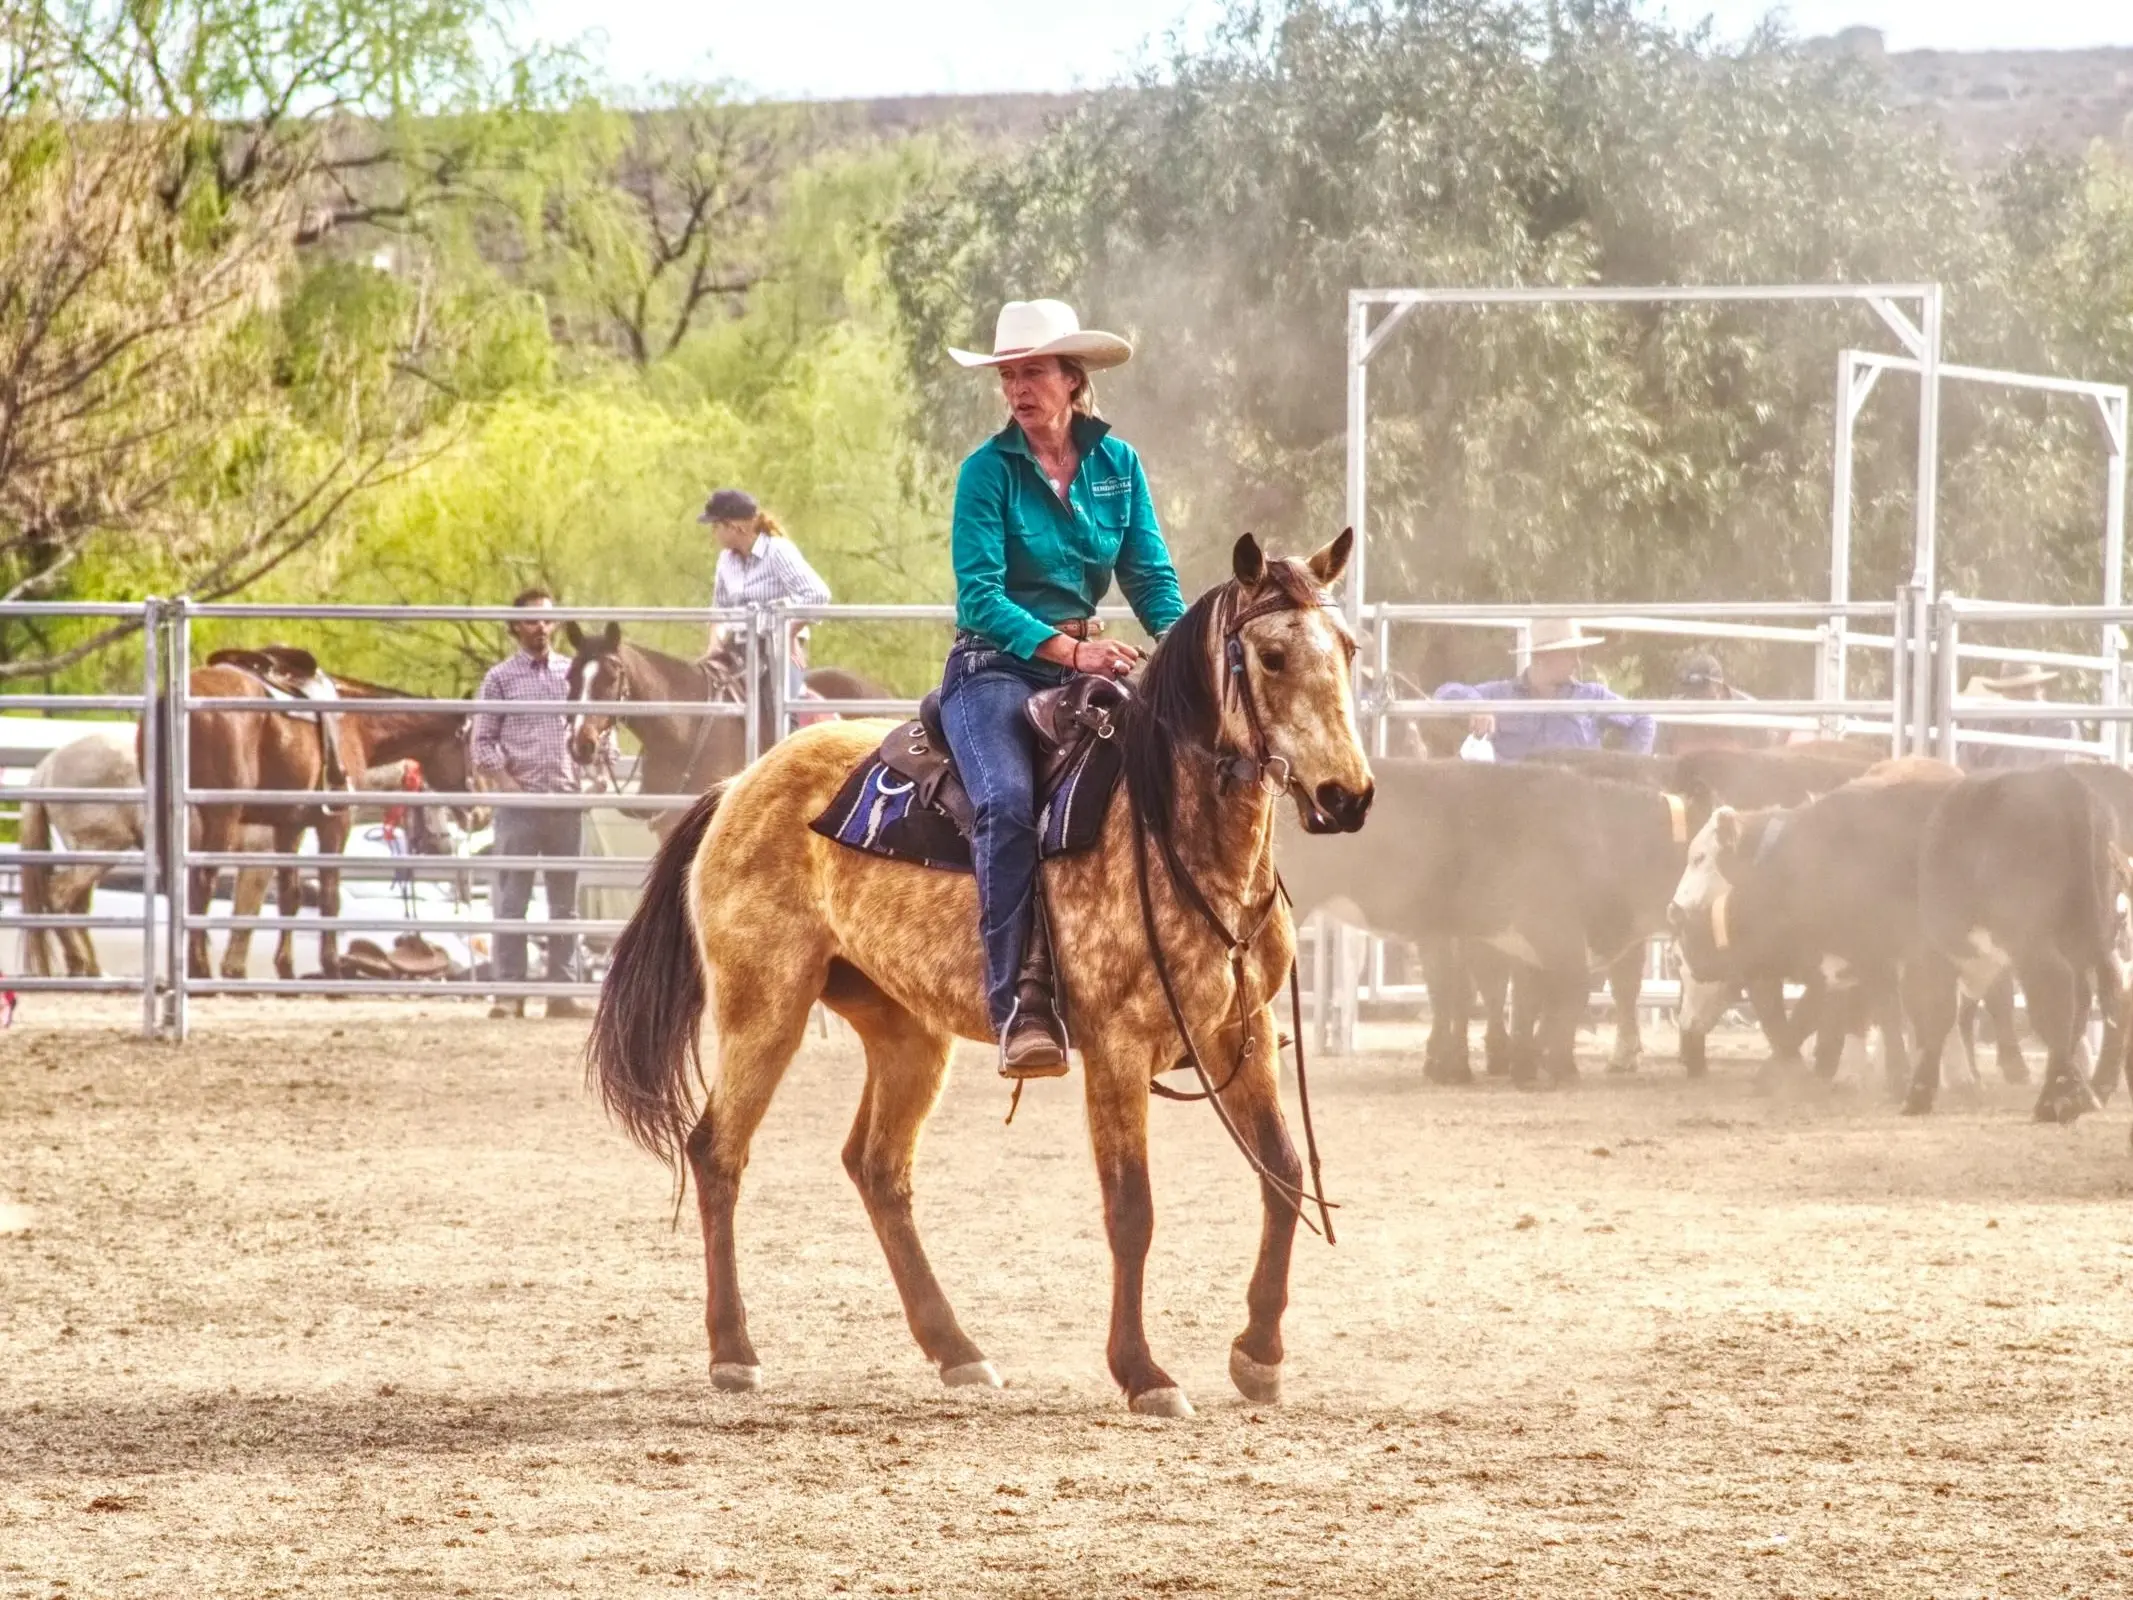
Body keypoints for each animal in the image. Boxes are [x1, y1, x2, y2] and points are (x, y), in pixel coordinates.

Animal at [169, 668, 474, 981]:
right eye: (468, 743)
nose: (476, 813)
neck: (354, 725)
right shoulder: (333, 825)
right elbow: (328, 898)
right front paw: (331, 969)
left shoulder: (290, 828)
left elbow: (289, 898)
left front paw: (286, 969)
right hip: (222, 819)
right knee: (201, 886)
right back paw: (200, 970)